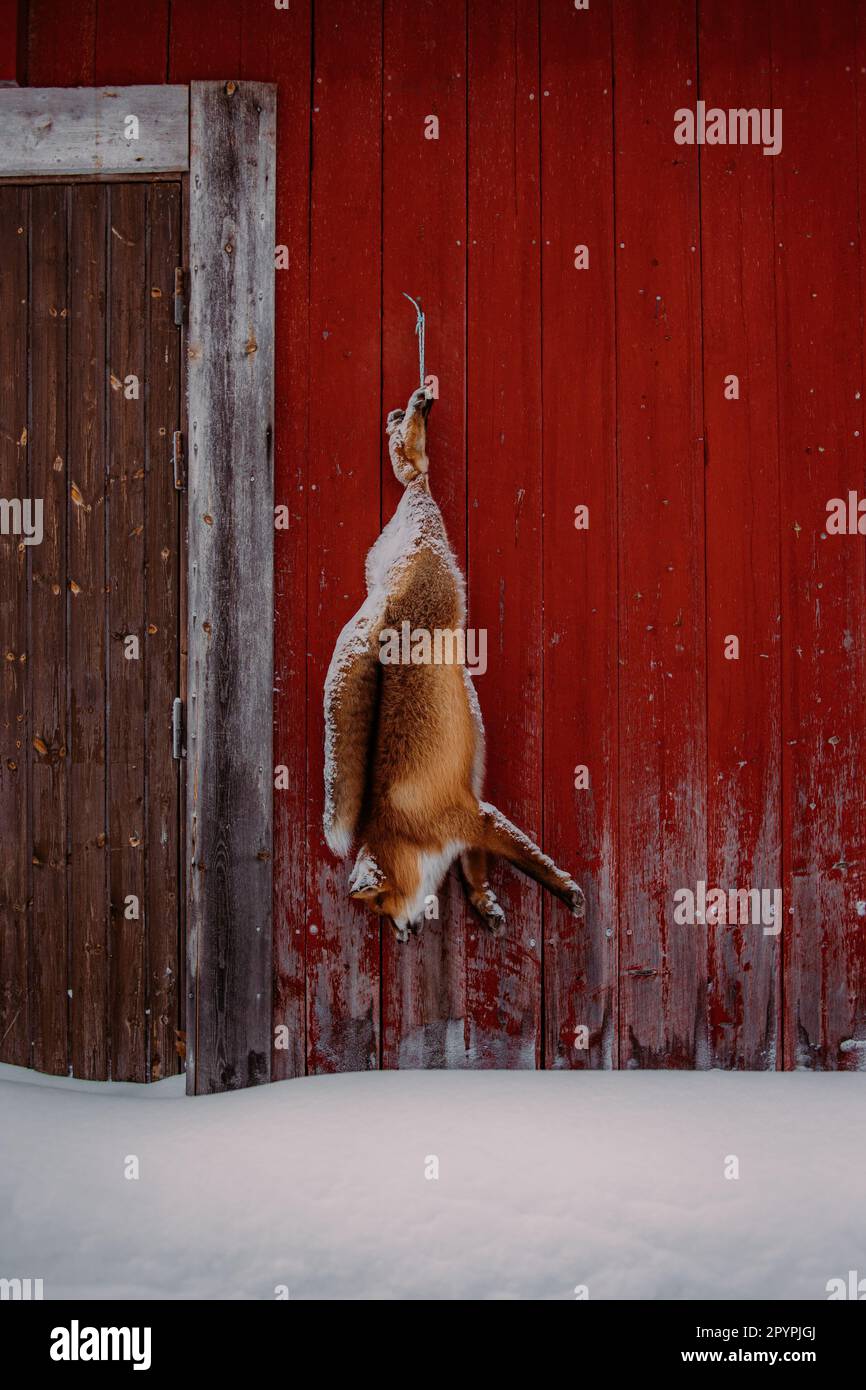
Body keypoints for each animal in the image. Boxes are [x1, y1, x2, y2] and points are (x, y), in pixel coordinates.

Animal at [323, 385, 586, 942]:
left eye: (381, 905)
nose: (403, 936)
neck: (410, 836)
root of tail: (384, 598)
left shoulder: (472, 818)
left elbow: (529, 860)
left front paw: (563, 888)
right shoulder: (471, 826)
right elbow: (475, 871)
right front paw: (486, 904)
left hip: (436, 583)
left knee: (412, 466)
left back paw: (414, 414)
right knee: (409, 465)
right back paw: (411, 418)